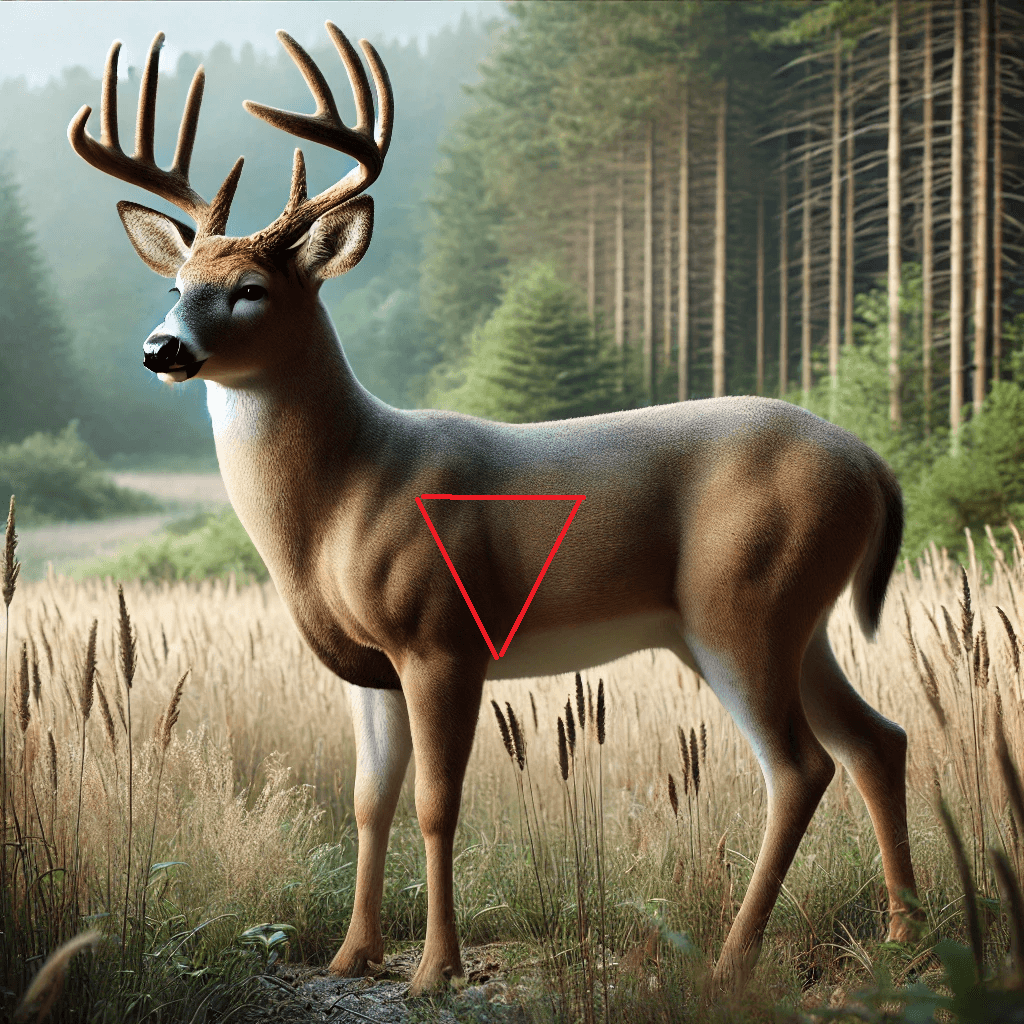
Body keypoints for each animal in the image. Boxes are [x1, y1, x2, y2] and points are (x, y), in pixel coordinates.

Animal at [68, 23, 918, 996]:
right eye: (177, 286)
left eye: (251, 288)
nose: (161, 348)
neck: (339, 503)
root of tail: (869, 461)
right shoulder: (371, 667)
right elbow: (368, 802)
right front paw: (353, 954)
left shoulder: (442, 633)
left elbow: (437, 803)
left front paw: (435, 969)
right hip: (794, 617)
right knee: (877, 739)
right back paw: (907, 935)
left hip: (739, 604)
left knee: (801, 765)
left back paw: (734, 958)